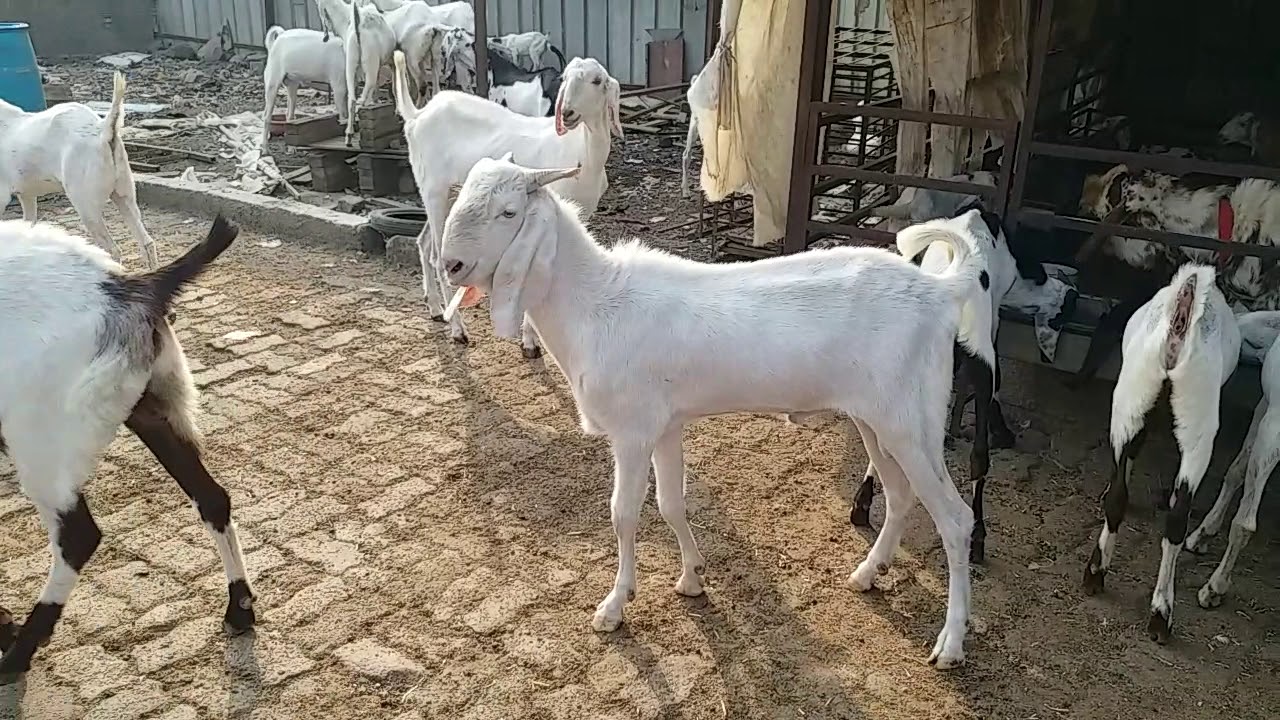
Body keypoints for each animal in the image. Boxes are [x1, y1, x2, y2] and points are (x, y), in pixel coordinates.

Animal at [0, 71, 159, 270]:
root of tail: (102, 130)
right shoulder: (27, 195)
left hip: (87, 208)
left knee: (113, 251)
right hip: (125, 198)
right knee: (147, 243)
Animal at [0, 216, 253, 677]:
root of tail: (128, 288)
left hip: (39, 444)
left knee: (79, 536)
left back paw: (21, 649)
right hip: (154, 412)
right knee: (212, 498)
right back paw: (239, 606)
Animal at [391, 50, 621, 357]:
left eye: (597, 81)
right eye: (564, 78)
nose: (568, 113)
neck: (581, 154)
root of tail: (417, 115)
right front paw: (529, 342)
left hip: (447, 196)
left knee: (423, 242)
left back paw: (435, 309)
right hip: (433, 190)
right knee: (438, 257)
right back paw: (458, 330)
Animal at [436, 156, 998, 669]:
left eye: (509, 212)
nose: (451, 266)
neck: (594, 304)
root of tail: (940, 291)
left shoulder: (632, 431)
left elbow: (623, 513)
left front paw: (615, 606)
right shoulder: (665, 425)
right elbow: (671, 503)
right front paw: (691, 577)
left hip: (912, 420)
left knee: (956, 520)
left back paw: (951, 643)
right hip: (875, 420)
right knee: (901, 494)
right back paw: (866, 574)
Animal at [1082, 264, 1241, 644]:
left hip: (1134, 399)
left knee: (1123, 500)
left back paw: (1102, 575)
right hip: (1196, 423)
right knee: (1175, 515)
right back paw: (1159, 611)